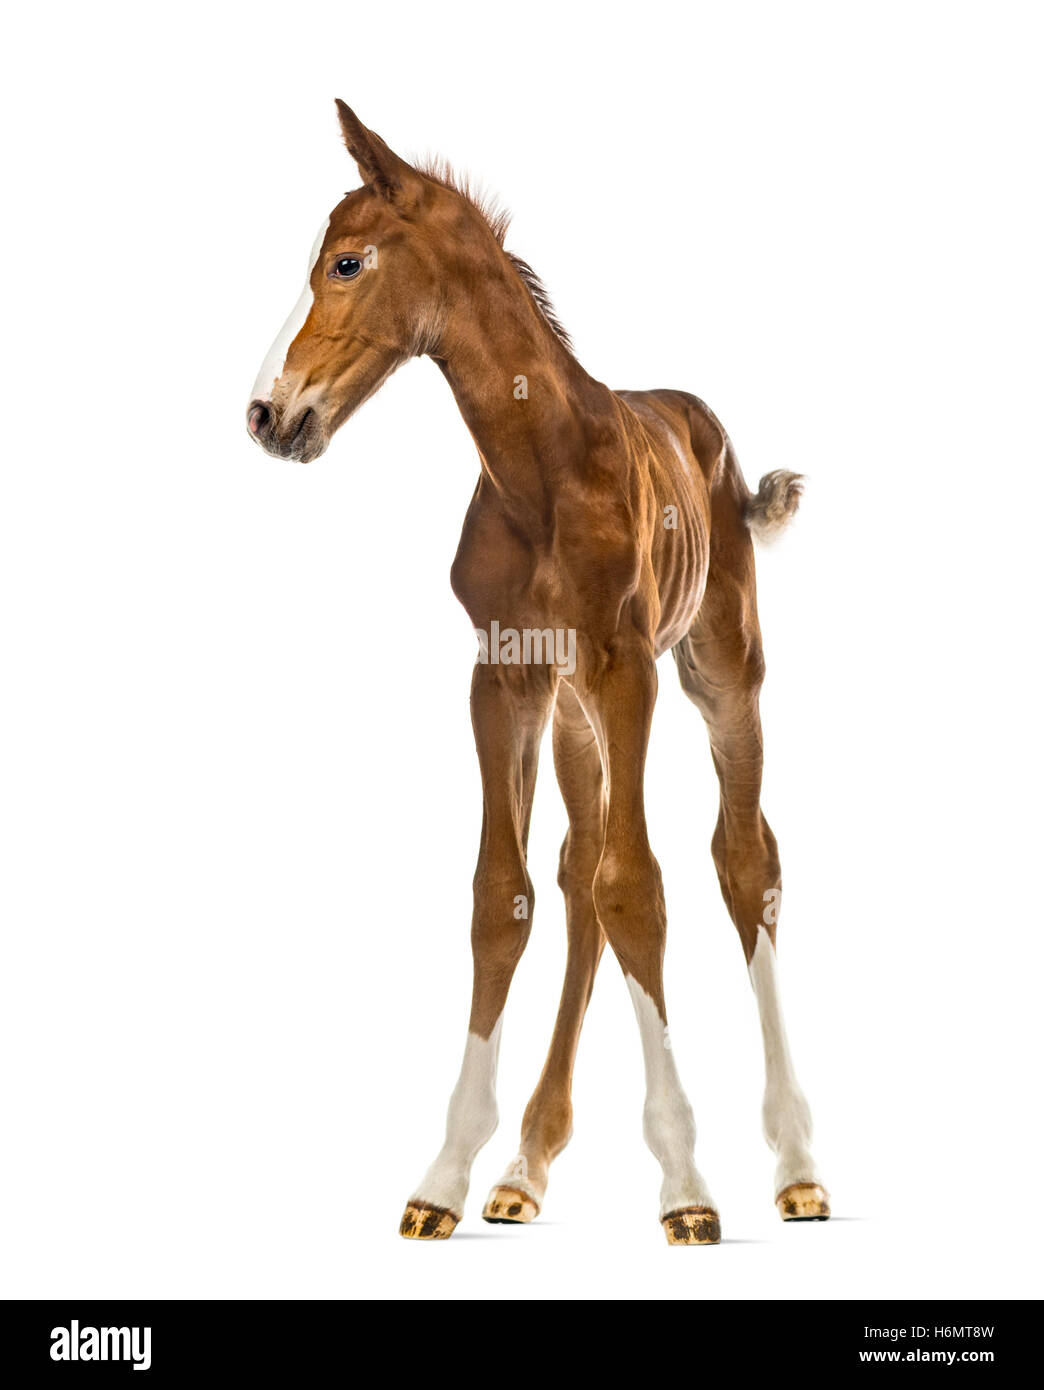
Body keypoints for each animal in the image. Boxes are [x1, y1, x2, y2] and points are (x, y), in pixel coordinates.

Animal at [246, 101, 829, 1244]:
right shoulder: (502, 679)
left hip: (719, 670)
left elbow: (642, 887)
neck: (542, 470)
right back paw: (525, 1167)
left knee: (745, 860)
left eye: (345, 262)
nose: (267, 414)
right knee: (577, 873)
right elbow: (504, 894)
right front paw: (445, 1174)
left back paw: (795, 1163)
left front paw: (686, 1185)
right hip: (571, 720)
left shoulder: (624, 670)